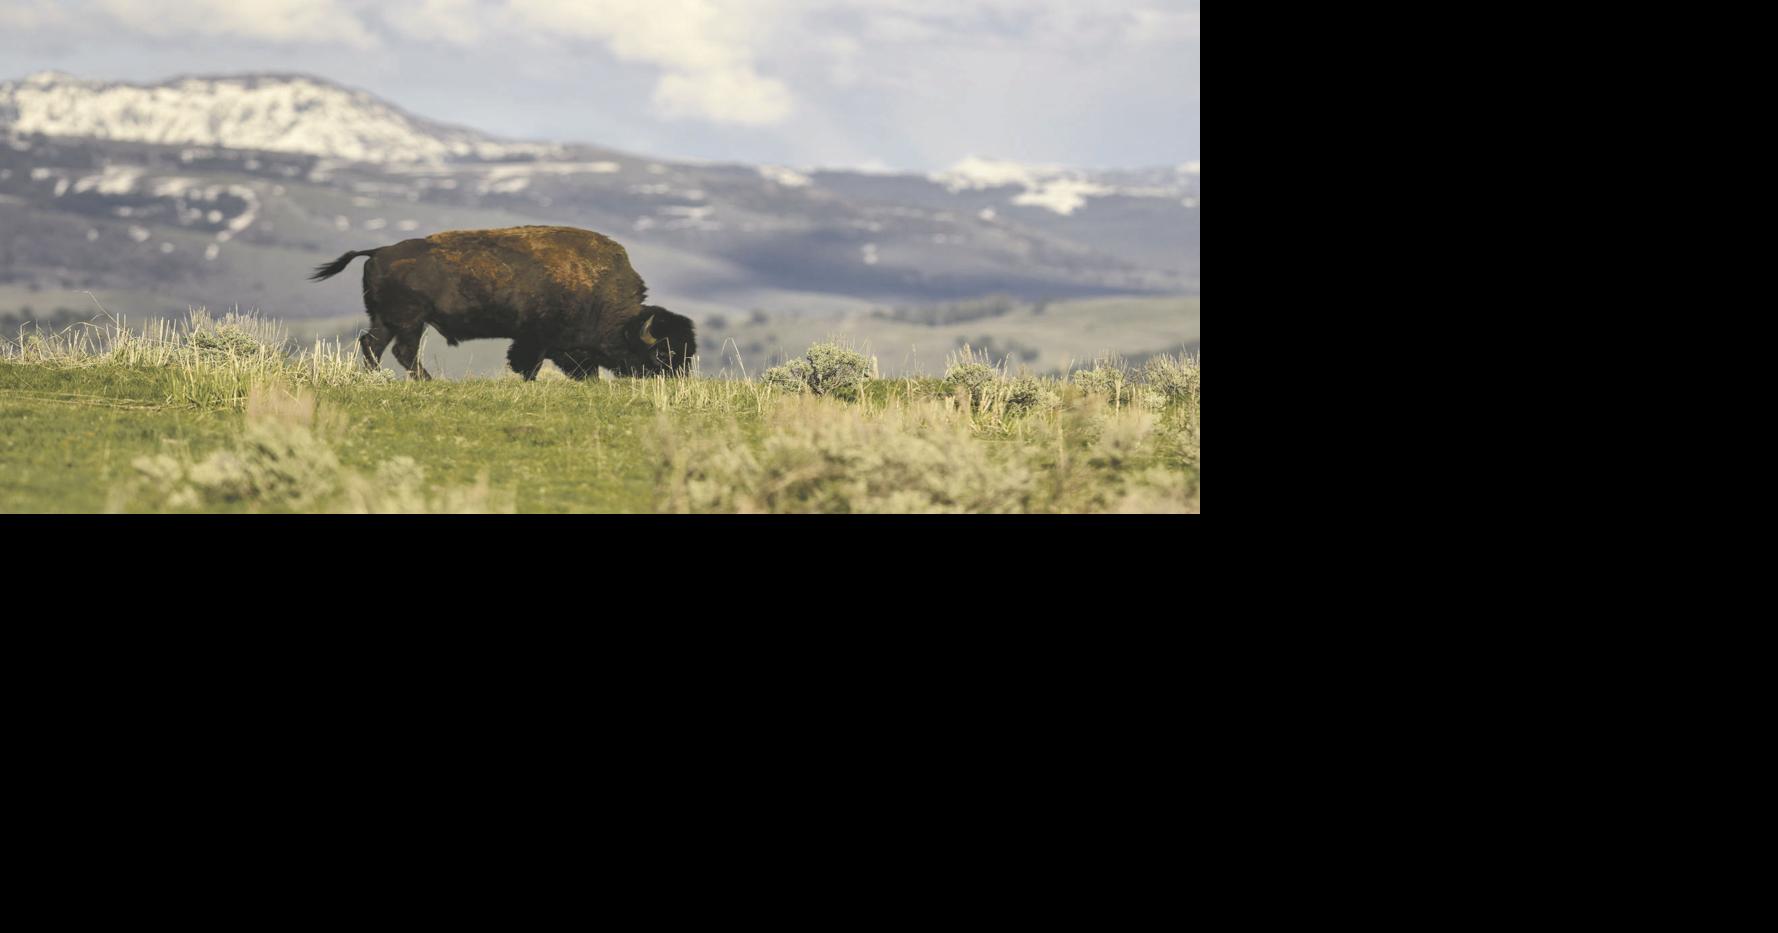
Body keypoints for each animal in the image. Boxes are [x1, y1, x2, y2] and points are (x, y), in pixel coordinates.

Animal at [309, 225, 696, 380]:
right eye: (663, 354)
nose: (677, 378)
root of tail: (378, 251)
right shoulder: (538, 339)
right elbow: (530, 364)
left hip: (386, 320)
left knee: (371, 344)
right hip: (410, 321)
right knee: (401, 351)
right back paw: (429, 381)